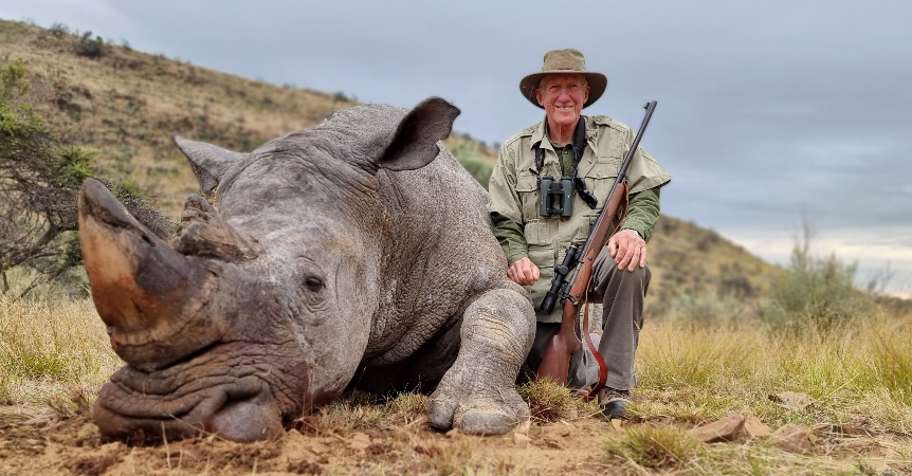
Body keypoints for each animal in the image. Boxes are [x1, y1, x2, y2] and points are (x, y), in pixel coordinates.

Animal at [78, 98, 536, 442]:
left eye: (313, 284)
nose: (149, 414)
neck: (390, 212)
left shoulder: (488, 273)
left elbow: (501, 311)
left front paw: (481, 418)